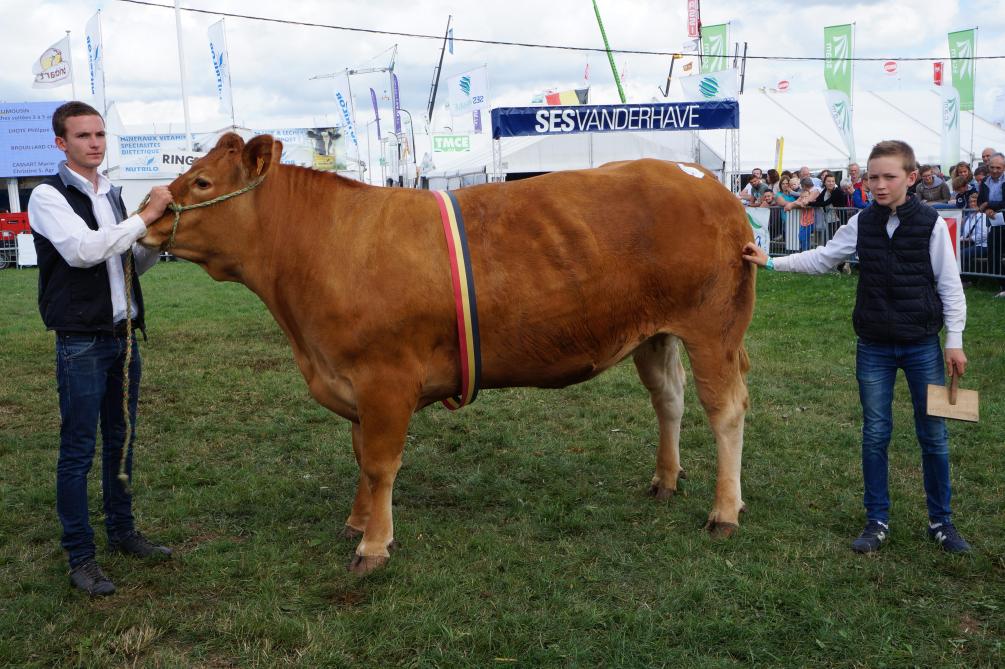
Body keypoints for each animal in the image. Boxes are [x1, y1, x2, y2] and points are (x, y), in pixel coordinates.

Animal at [141, 133, 756, 575]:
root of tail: (705, 181)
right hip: (654, 334)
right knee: (669, 400)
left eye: (201, 181)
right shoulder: (351, 381)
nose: (146, 213)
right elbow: (361, 458)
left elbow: (381, 464)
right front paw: (356, 522)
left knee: (725, 410)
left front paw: (373, 546)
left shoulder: (385, 379)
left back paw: (724, 513)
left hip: (713, 329)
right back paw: (665, 481)